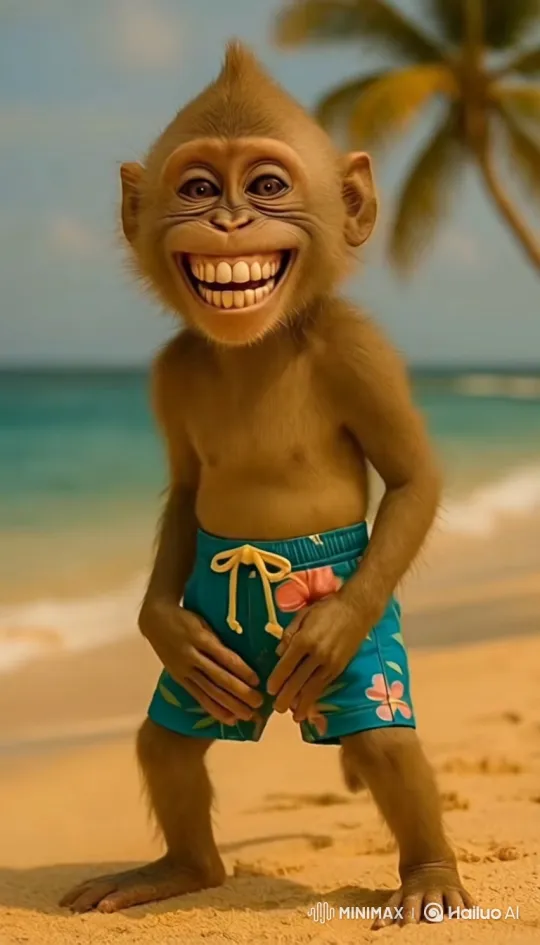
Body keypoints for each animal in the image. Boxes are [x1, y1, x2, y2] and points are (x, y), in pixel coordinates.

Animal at [60, 41, 472, 928]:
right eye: (197, 189)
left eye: (268, 187)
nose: (228, 222)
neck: (258, 341)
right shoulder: (168, 372)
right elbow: (186, 489)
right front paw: (158, 623)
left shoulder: (359, 348)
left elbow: (412, 477)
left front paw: (328, 628)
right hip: (204, 689)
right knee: (165, 745)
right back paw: (177, 870)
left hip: (367, 683)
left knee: (387, 744)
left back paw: (428, 878)